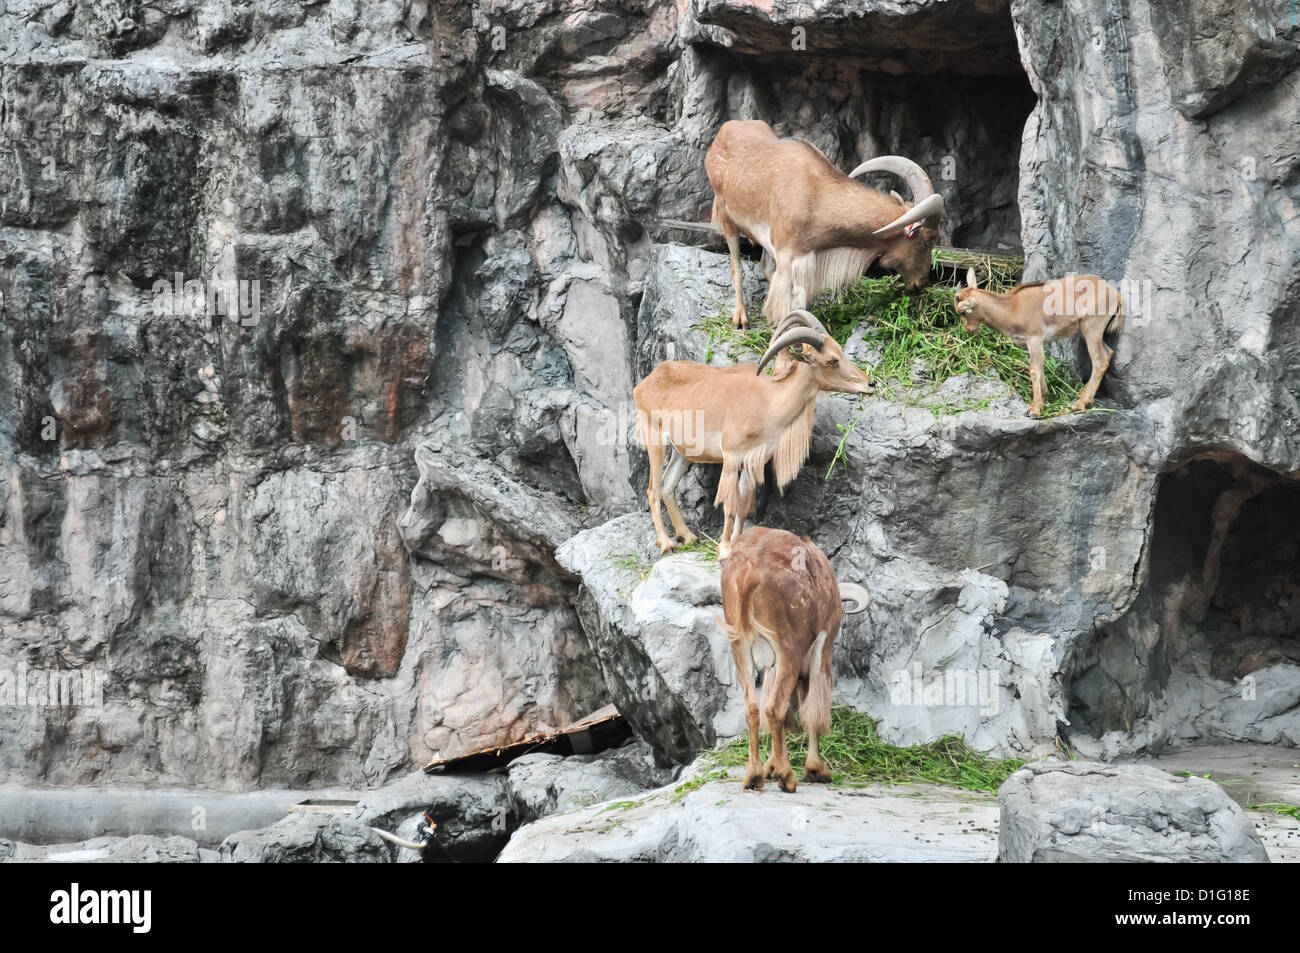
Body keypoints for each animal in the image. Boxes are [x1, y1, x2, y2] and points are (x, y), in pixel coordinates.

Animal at [633, 311, 872, 560]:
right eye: (832, 360)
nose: (870, 383)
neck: (768, 400)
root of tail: (645, 383)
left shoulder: (752, 460)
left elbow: (742, 504)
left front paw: (738, 545)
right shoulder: (731, 458)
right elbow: (730, 505)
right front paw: (724, 549)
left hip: (683, 452)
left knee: (668, 486)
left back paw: (688, 537)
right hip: (655, 439)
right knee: (653, 489)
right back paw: (666, 543)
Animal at [705, 119, 944, 329]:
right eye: (926, 242)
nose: (922, 282)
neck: (817, 195)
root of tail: (722, 133)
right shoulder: (788, 258)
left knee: (764, 265)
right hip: (727, 216)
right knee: (736, 266)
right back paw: (740, 318)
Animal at [720, 526, 870, 792]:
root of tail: (750, 572)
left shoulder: (772, 666)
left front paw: (771, 766)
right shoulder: (821, 650)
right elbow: (812, 711)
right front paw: (816, 769)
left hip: (740, 648)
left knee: (754, 708)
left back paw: (754, 775)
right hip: (789, 650)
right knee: (774, 708)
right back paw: (787, 777)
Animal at [954, 269, 1125, 418]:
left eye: (963, 312)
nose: (968, 329)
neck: (1012, 308)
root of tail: (1115, 294)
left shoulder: (1034, 337)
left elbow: (1034, 370)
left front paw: (1034, 410)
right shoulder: (1038, 342)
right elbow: (1041, 366)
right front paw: (1044, 396)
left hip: (1092, 328)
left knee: (1099, 360)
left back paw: (1081, 404)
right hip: (1088, 331)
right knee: (1108, 353)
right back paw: (1081, 395)